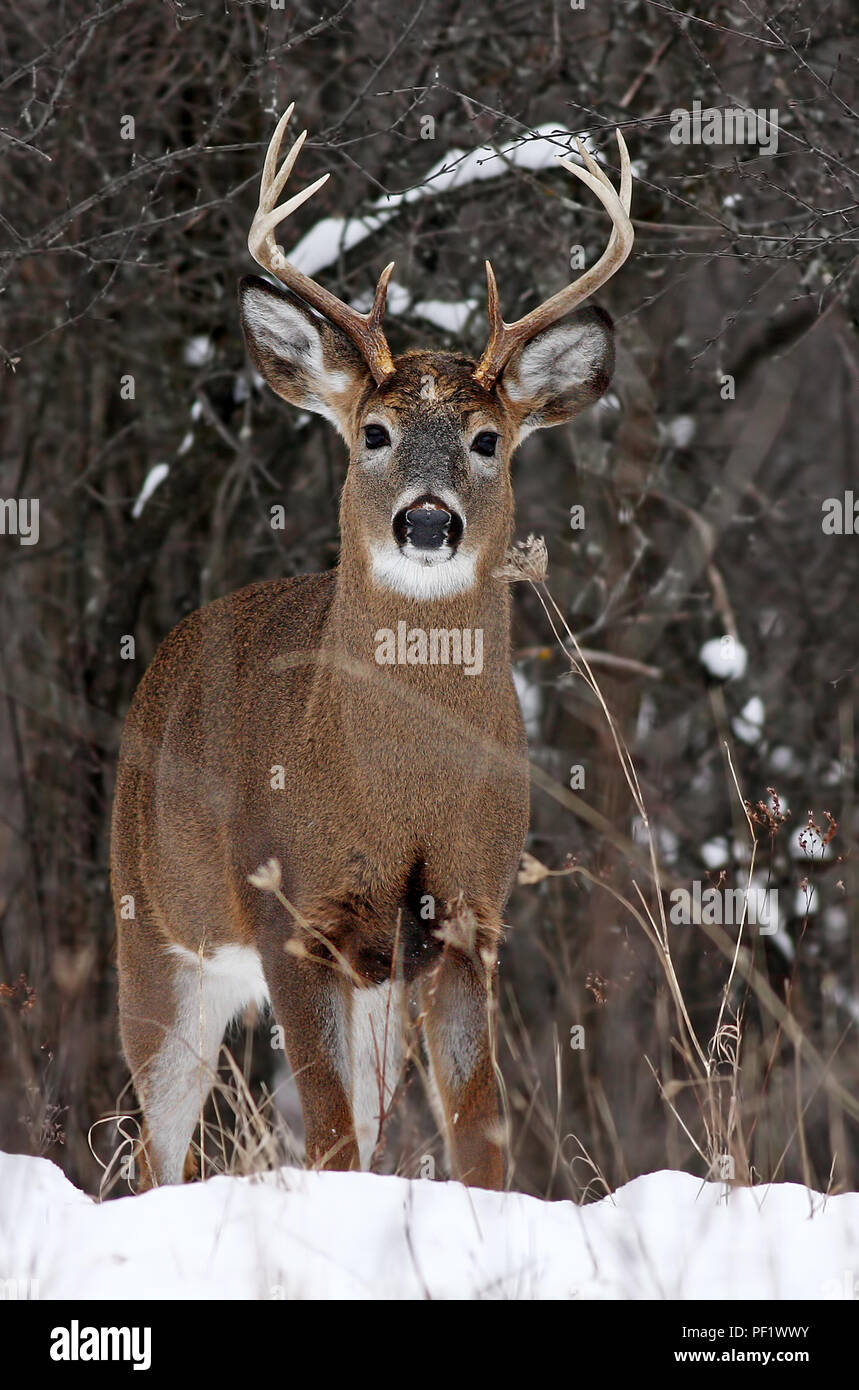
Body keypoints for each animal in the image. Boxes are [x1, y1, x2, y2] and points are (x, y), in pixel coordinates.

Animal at [111, 104, 633, 1191]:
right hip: (155, 929)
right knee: (155, 1144)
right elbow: (330, 1135)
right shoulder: (288, 912)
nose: (426, 522)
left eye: (487, 439)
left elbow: (477, 1130)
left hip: (375, 977)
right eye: (374, 432)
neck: (398, 792)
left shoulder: (468, 918)